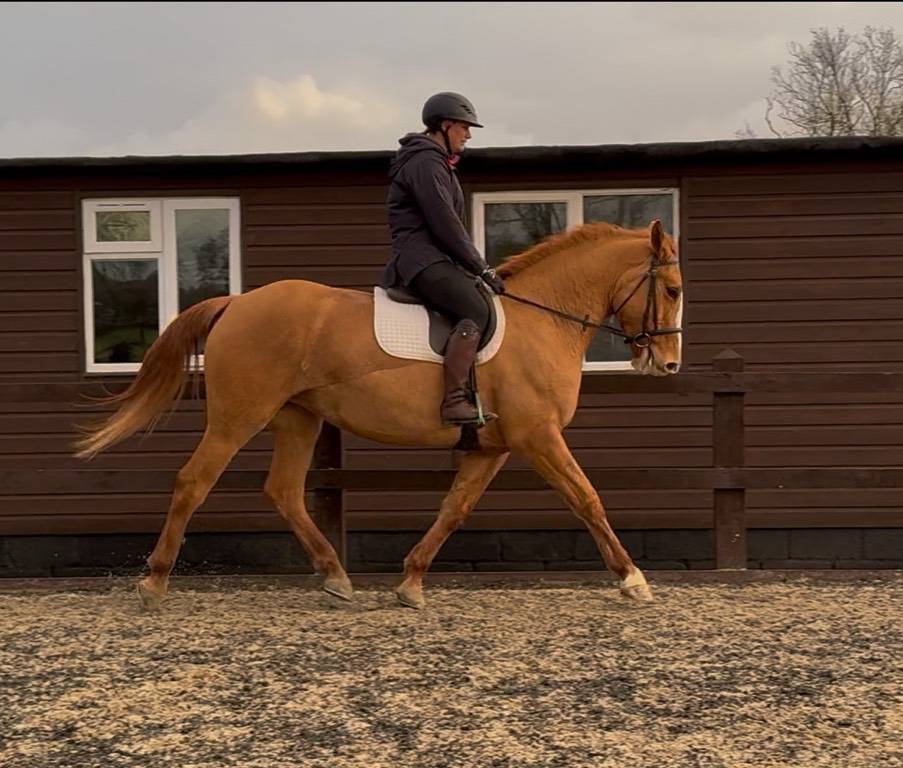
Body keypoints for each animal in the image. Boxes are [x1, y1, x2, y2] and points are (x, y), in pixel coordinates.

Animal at [74, 219, 683, 611]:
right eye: (673, 289)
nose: (669, 363)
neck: (544, 319)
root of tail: (237, 302)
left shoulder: (493, 447)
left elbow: (454, 510)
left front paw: (411, 583)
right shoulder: (539, 436)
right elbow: (587, 498)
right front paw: (633, 579)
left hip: (297, 418)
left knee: (284, 490)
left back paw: (336, 577)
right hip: (237, 417)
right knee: (193, 481)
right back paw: (154, 583)